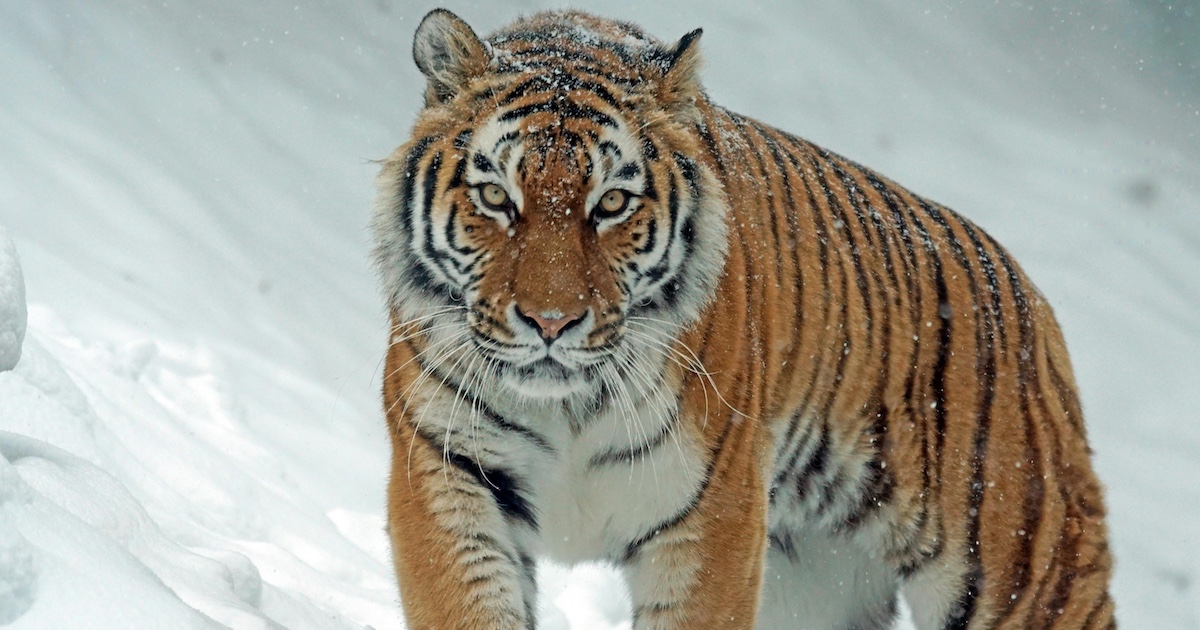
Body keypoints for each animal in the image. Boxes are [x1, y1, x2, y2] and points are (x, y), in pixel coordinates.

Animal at [370, 8, 1115, 630]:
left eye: (611, 204)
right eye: (497, 196)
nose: (551, 323)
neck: (568, 409)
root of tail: (1031, 299)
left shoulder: (713, 518)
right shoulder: (448, 472)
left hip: (1027, 574)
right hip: (816, 585)